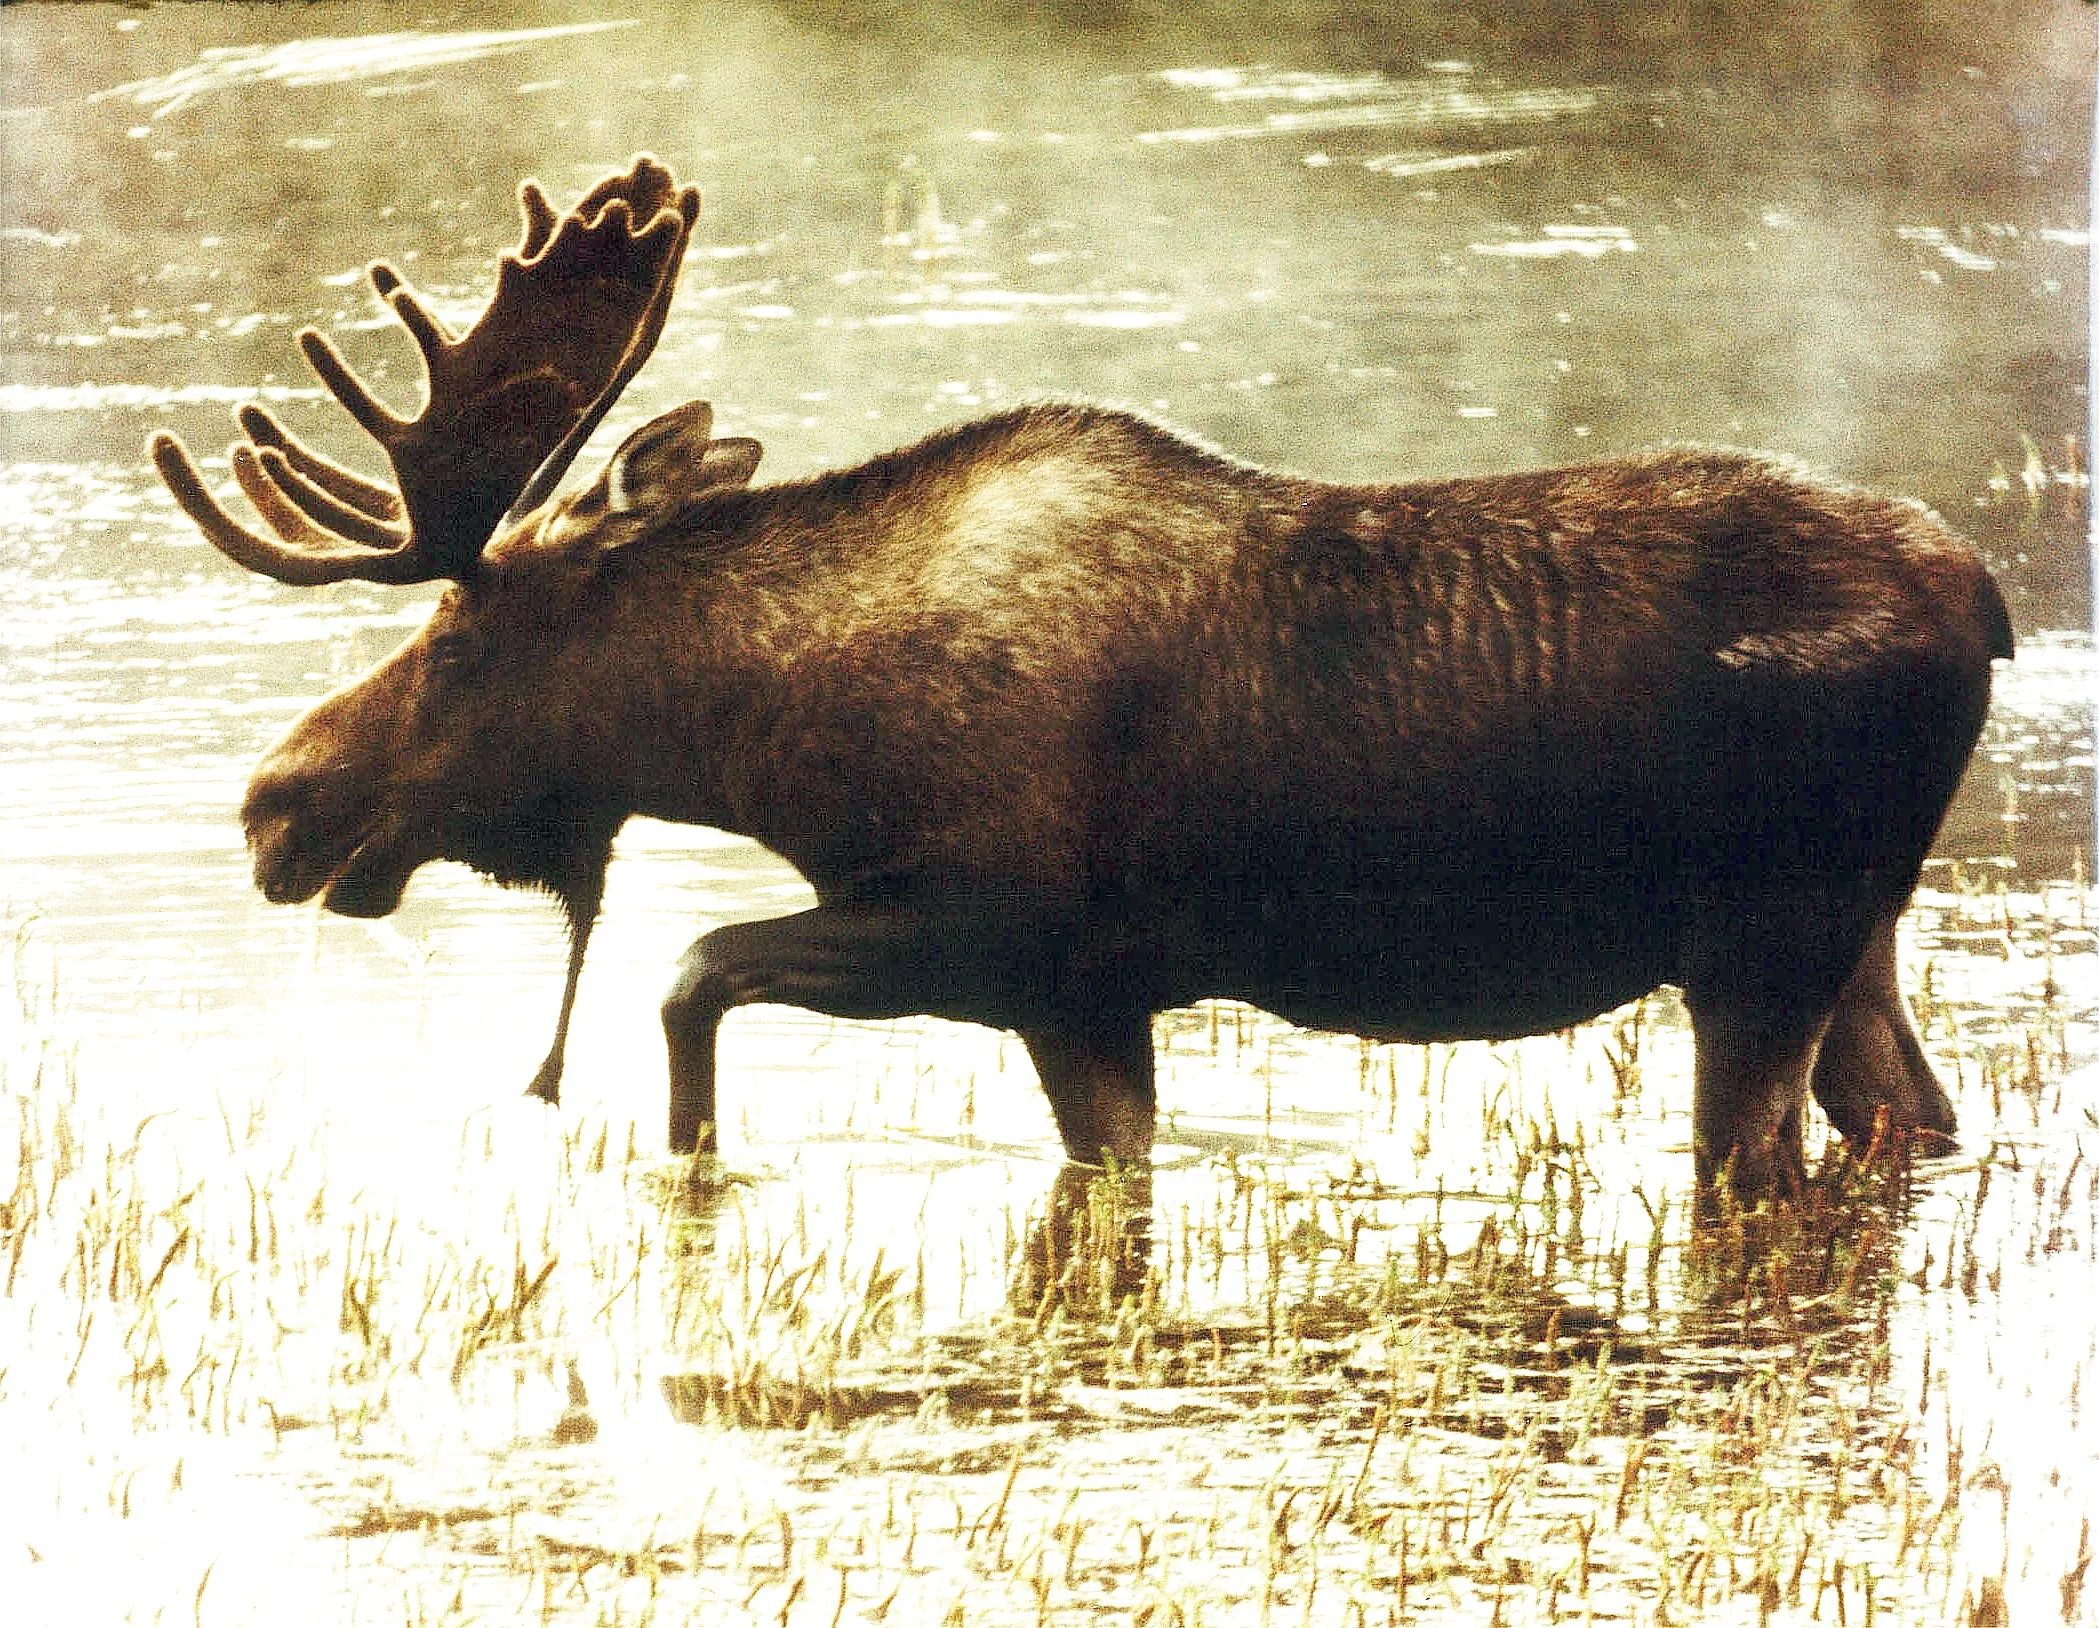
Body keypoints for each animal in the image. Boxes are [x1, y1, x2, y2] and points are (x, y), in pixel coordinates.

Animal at [149, 156, 2011, 1202]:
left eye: (460, 642)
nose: (273, 802)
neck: (770, 740)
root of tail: (1983, 598)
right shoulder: (1088, 995)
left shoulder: (989, 923)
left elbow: (684, 978)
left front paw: (695, 1179)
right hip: (1857, 939)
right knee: (1911, 1123)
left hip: (1761, 940)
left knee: (1764, 1175)